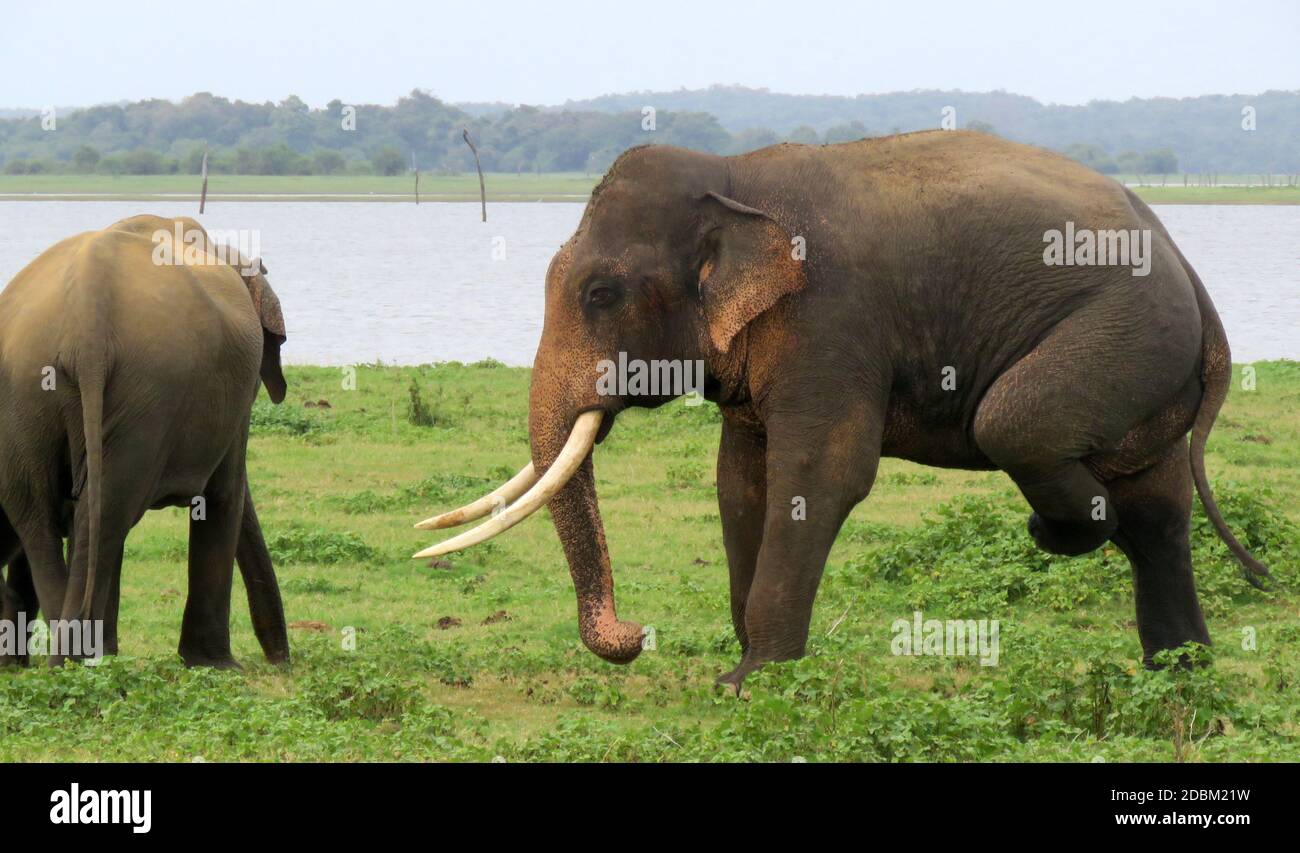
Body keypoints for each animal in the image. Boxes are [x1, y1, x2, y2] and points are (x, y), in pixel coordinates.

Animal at [0, 214, 290, 667]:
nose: (281, 660)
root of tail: (86, 314)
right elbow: (225, 493)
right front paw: (218, 666)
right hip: (145, 392)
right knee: (103, 515)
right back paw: (82, 659)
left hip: (30, 392)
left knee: (46, 516)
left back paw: (73, 661)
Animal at [413, 130, 1269, 689]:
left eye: (600, 294)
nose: (632, 635)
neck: (737, 179)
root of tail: (1190, 269)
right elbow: (741, 480)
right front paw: (747, 666)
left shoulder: (832, 315)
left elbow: (820, 473)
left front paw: (749, 682)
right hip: (1148, 361)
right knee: (1157, 505)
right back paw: (1180, 672)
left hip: (1124, 333)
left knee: (1018, 426)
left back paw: (1063, 536)